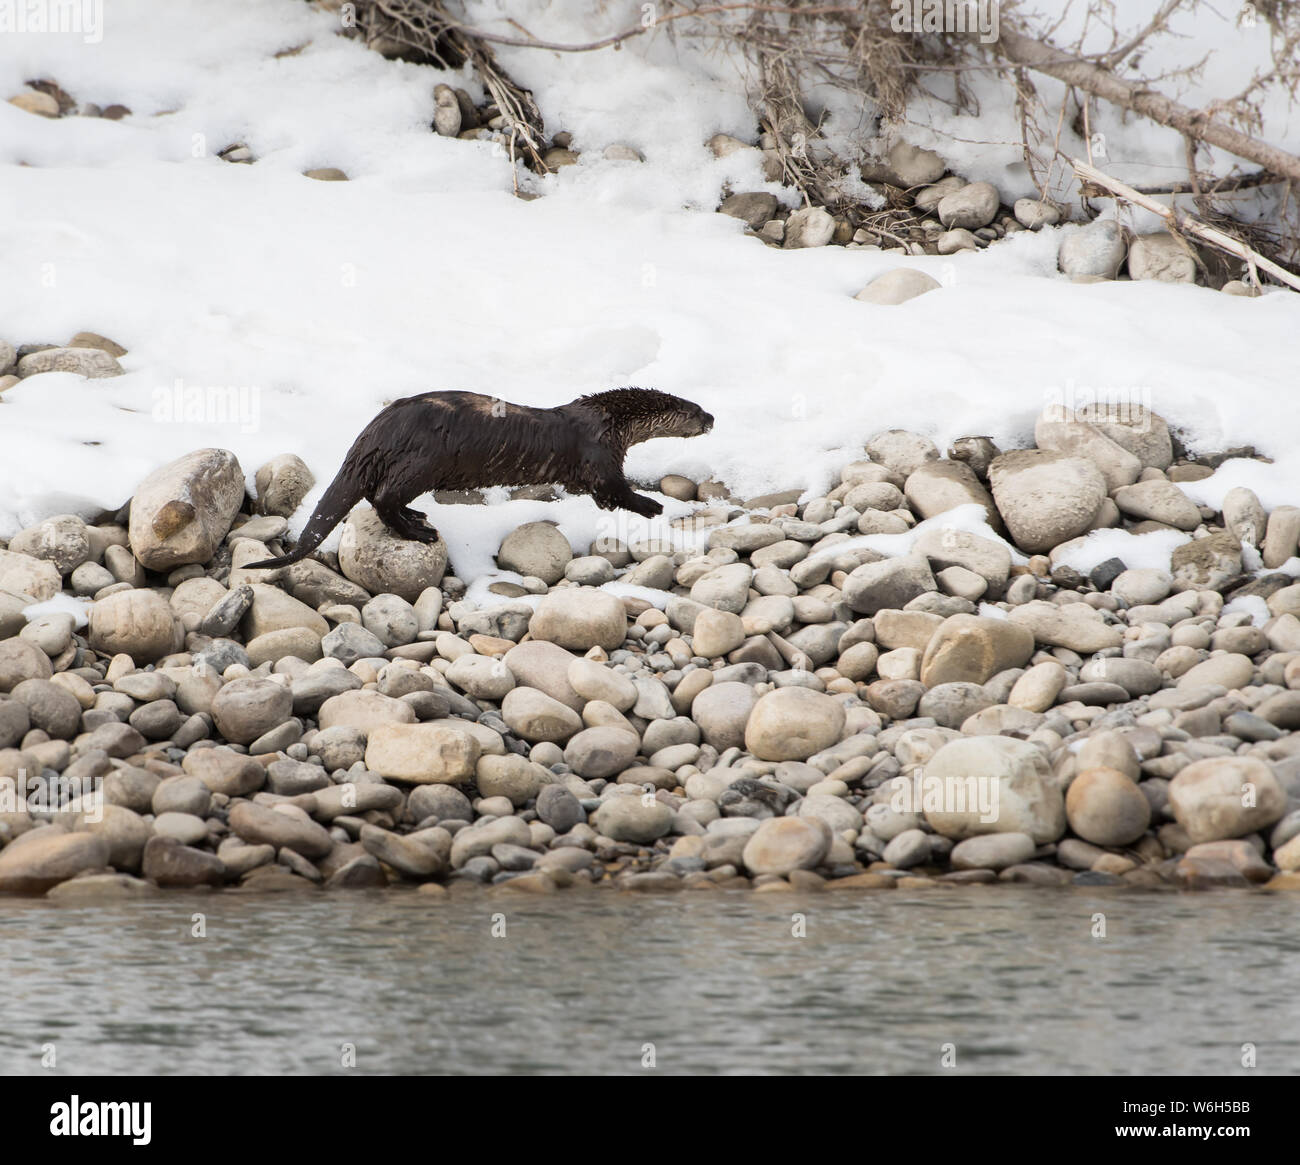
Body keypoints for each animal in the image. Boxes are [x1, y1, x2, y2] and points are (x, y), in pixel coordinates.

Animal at [246, 387, 714, 569]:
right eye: (694, 411)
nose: (712, 417)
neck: (610, 423)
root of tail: (374, 431)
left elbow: (600, 495)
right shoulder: (600, 456)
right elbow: (615, 490)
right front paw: (652, 504)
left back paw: (417, 518)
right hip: (424, 461)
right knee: (382, 497)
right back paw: (419, 531)